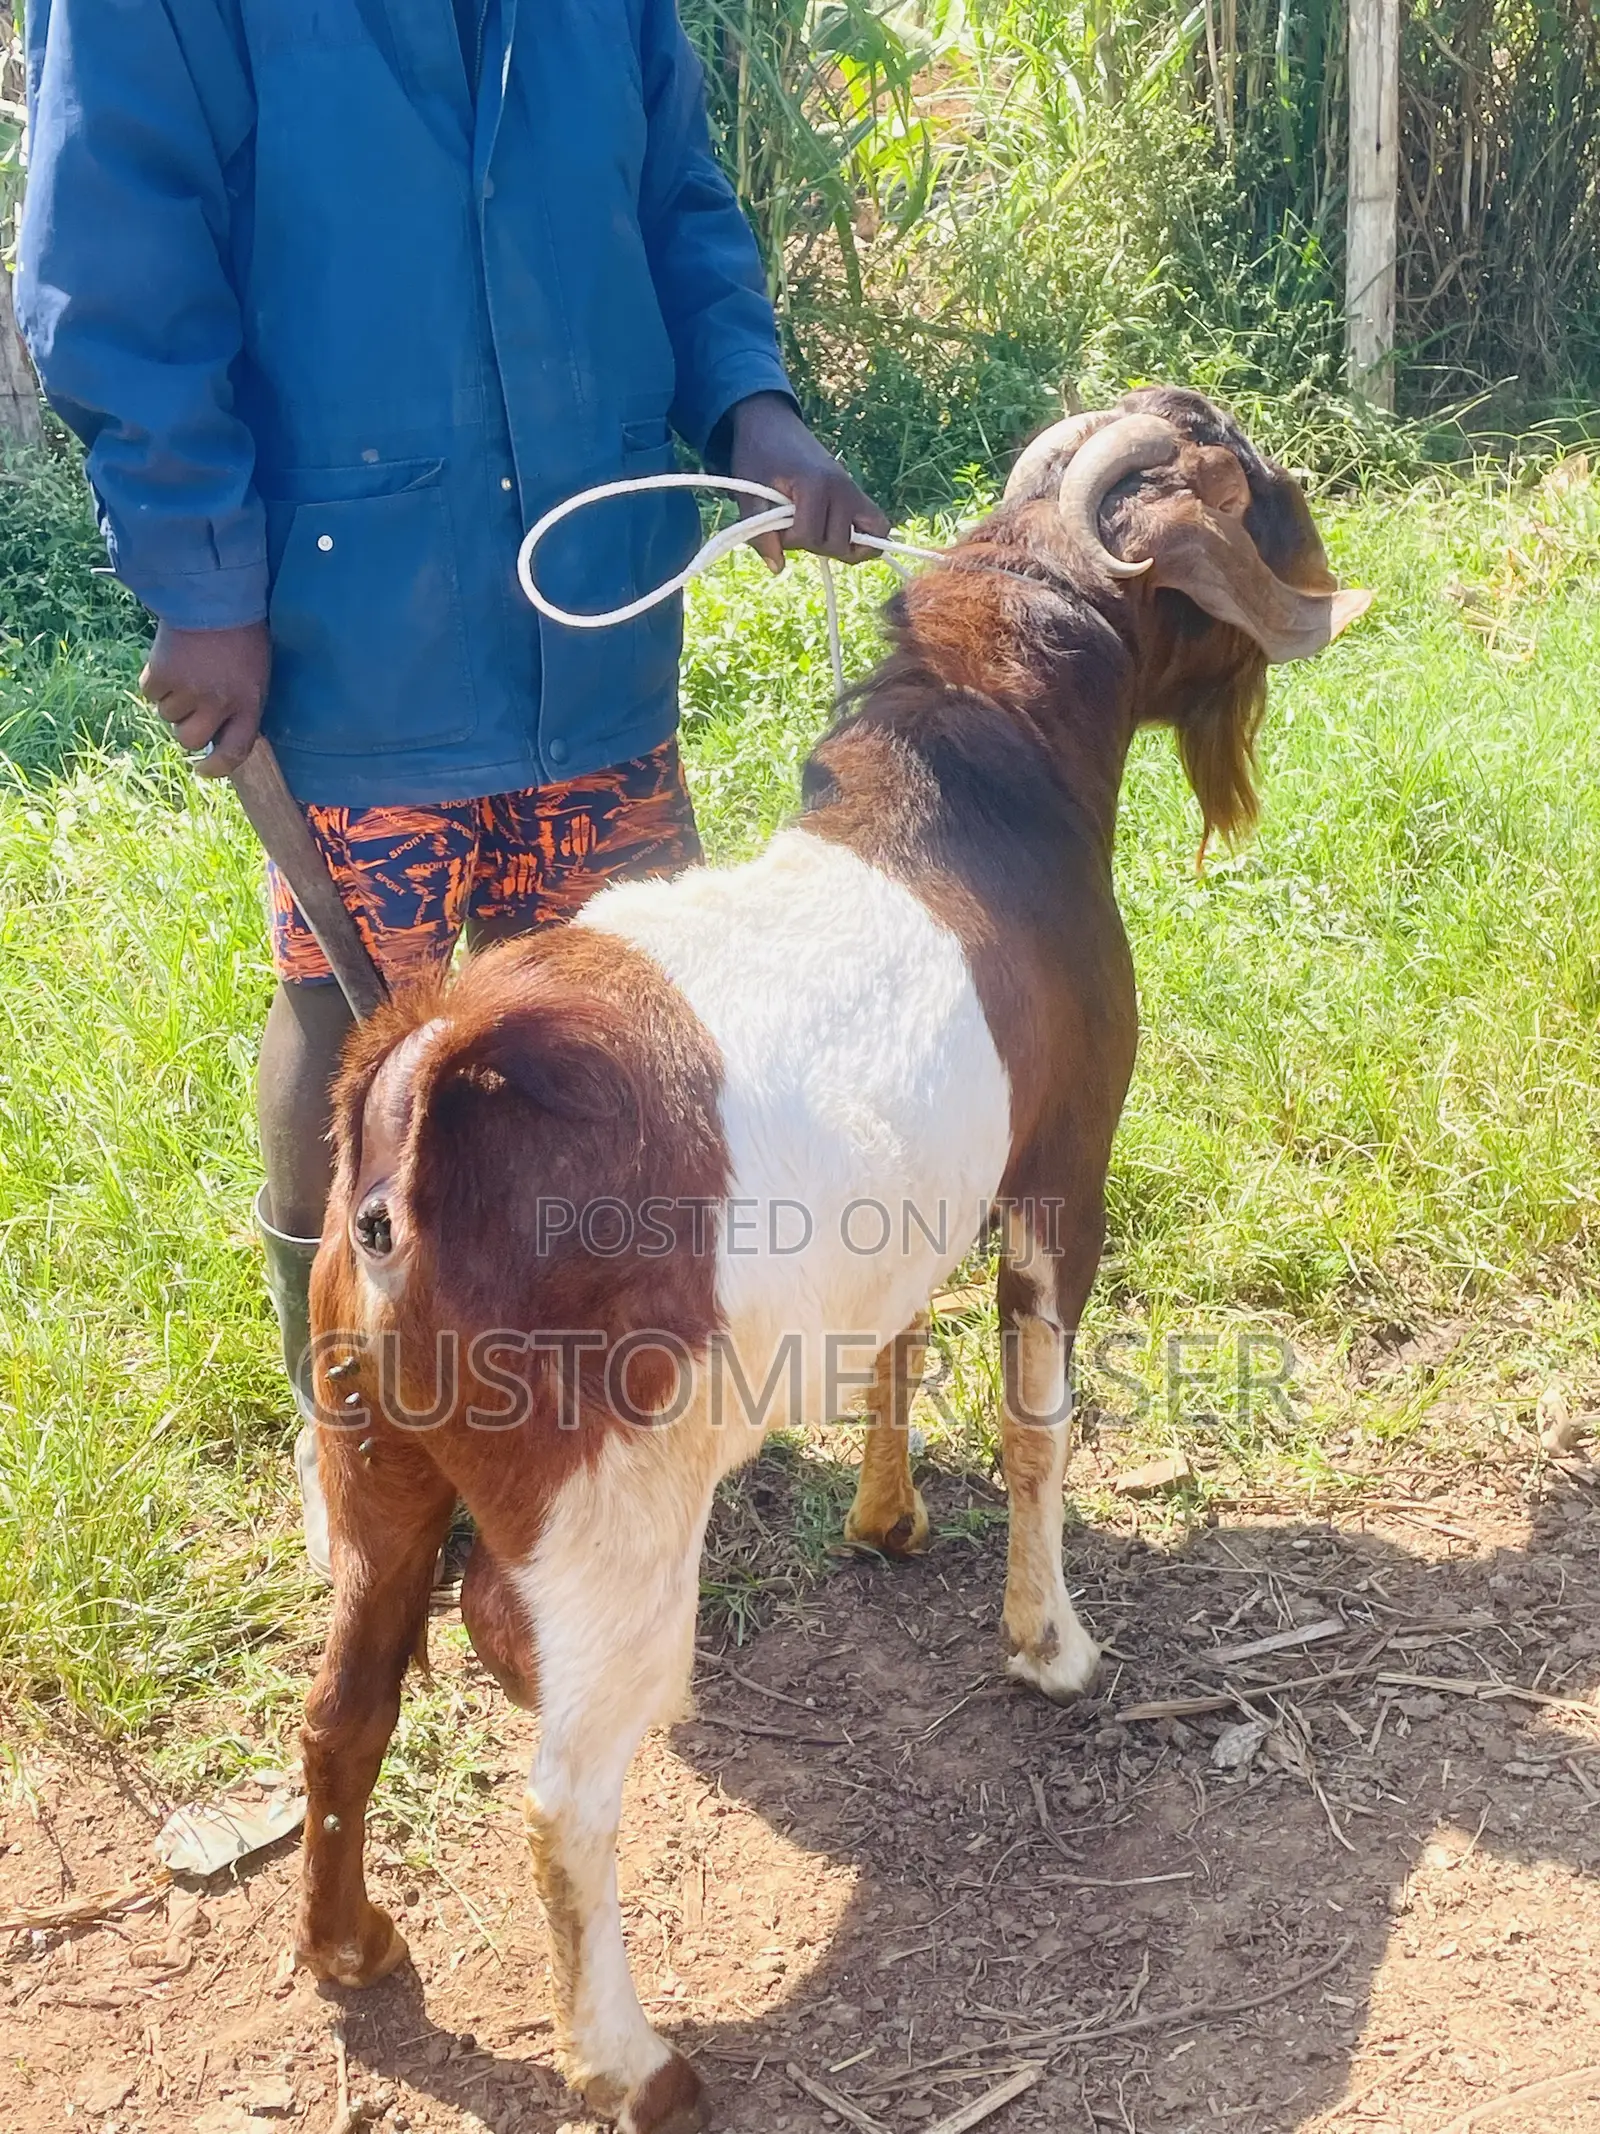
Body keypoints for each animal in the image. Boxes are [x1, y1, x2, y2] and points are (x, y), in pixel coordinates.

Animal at [293, 387, 1369, 2133]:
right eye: (1260, 488)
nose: (1320, 565)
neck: (982, 794)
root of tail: (426, 1083)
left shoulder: (913, 1209)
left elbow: (899, 1341)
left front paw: (885, 1518)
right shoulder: (1061, 1169)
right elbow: (1038, 1416)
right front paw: (1050, 1646)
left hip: (372, 1450)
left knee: (343, 1706)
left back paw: (348, 1946)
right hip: (603, 1508)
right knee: (564, 1795)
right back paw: (632, 2061)